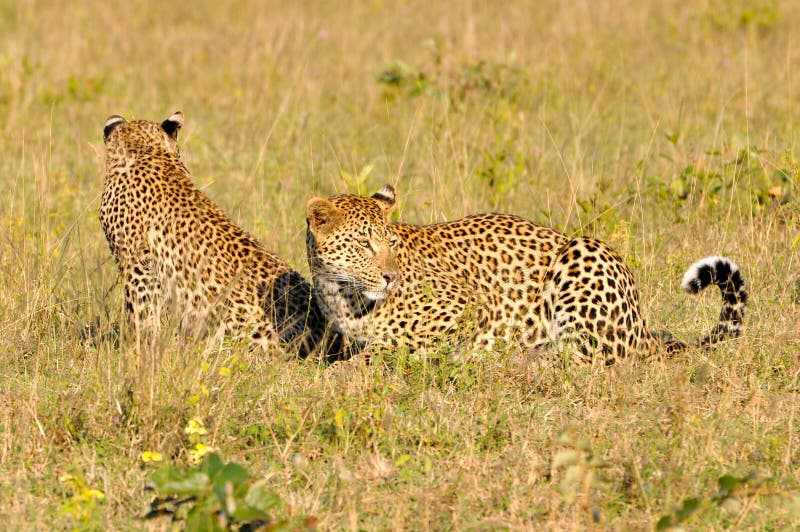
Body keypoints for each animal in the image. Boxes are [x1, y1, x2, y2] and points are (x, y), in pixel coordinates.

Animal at [305, 184, 748, 364]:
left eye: (391, 244)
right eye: (364, 244)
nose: (390, 278)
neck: (340, 293)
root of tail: (641, 325)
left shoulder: (468, 304)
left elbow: (400, 342)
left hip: (581, 254)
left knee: (586, 357)